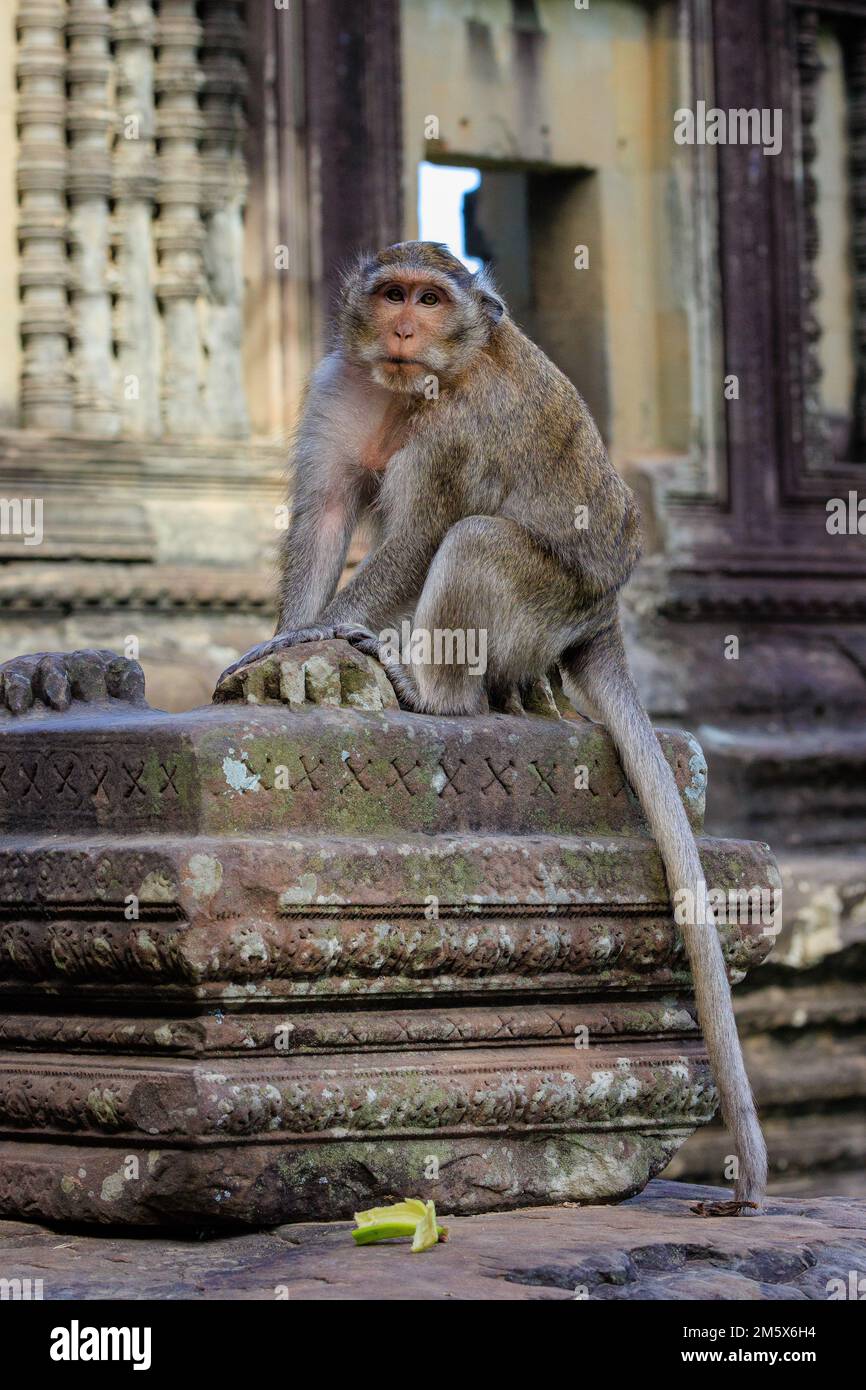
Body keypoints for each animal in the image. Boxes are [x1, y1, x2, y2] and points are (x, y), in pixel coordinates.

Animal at [217, 240, 767, 1211]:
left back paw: (429, 691)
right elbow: (325, 514)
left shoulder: (460, 428)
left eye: (432, 301)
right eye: (394, 294)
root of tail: (604, 611)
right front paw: (288, 637)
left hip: (546, 601)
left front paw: (316, 638)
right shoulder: (337, 384)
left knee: (475, 538)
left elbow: (426, 528)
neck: (412, 386)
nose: (403, 328)